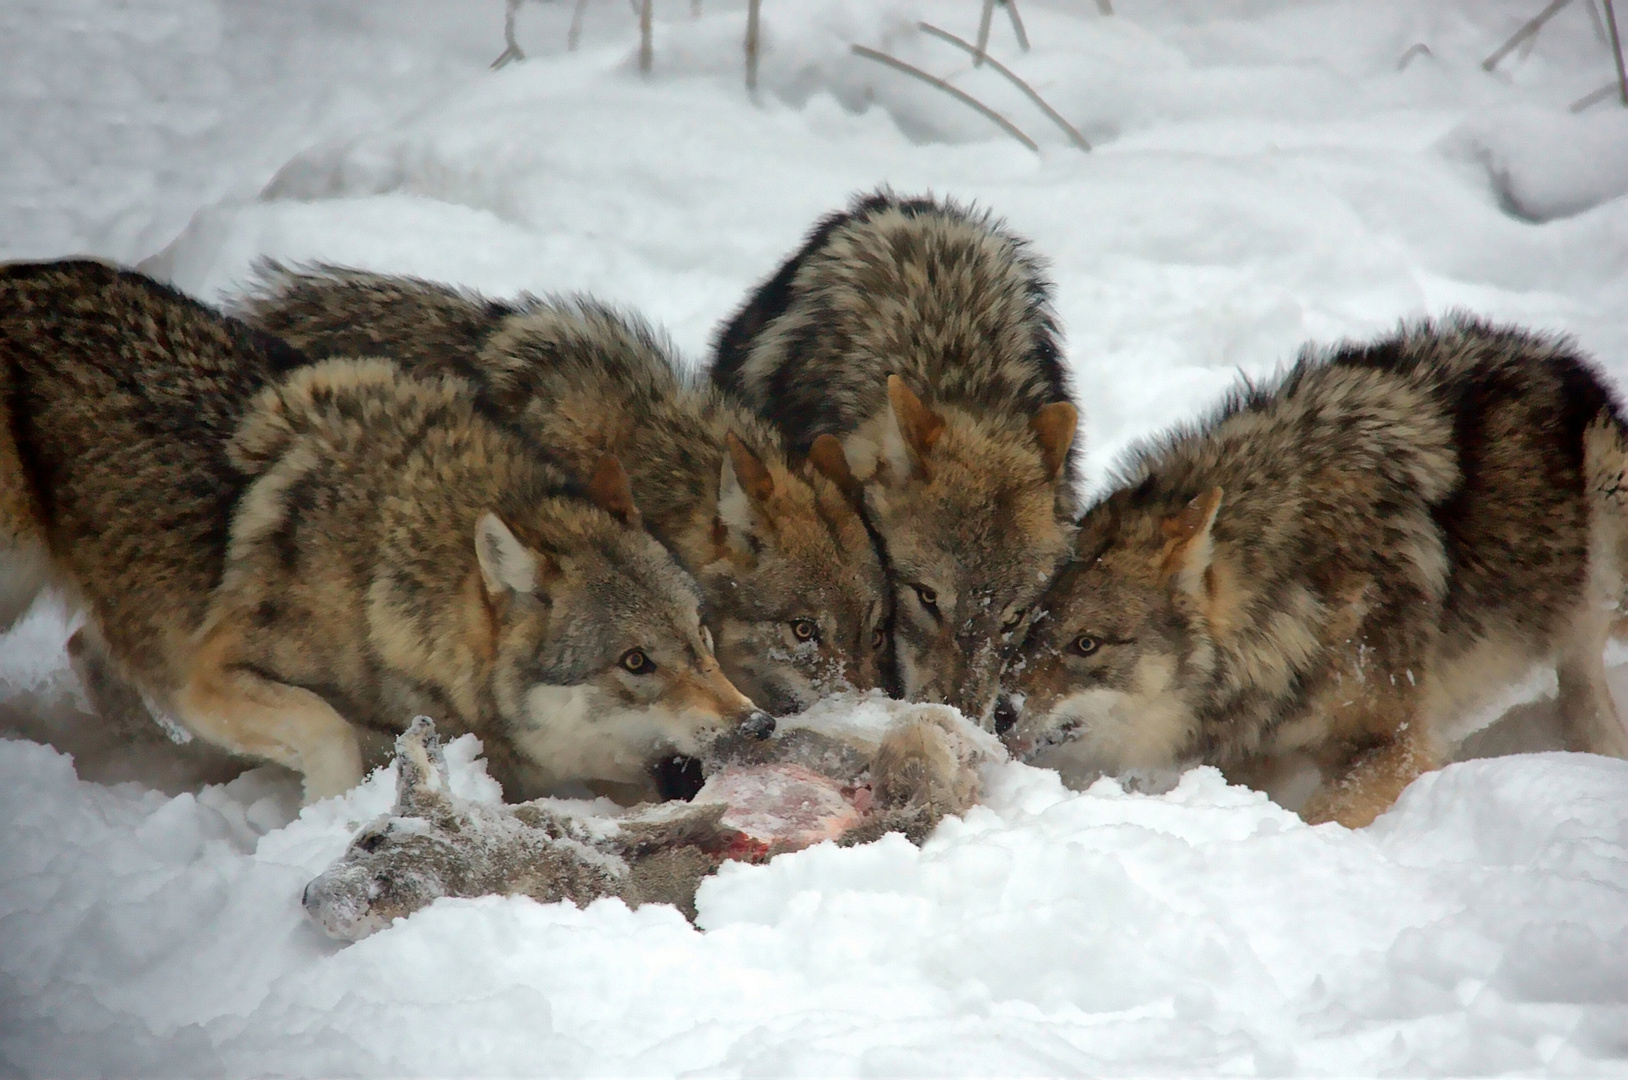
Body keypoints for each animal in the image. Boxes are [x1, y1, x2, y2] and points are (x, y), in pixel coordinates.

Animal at [1, 261, 771, 802]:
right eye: (635, 662)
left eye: (701, 638)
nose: (757, 725)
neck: (379, 578)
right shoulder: (207, 676)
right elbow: (329, 732)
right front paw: (326, 824)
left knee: (87, 647)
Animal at [996, 317, 1628, 827]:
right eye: (1019, 628)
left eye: (1085, 644)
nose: (999, 713)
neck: (1298, 598)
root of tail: (1560, 358)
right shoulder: (1259, 750)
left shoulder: (1397, 745)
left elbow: (1319, 817)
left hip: (1605, 500)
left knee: (1584, 670)